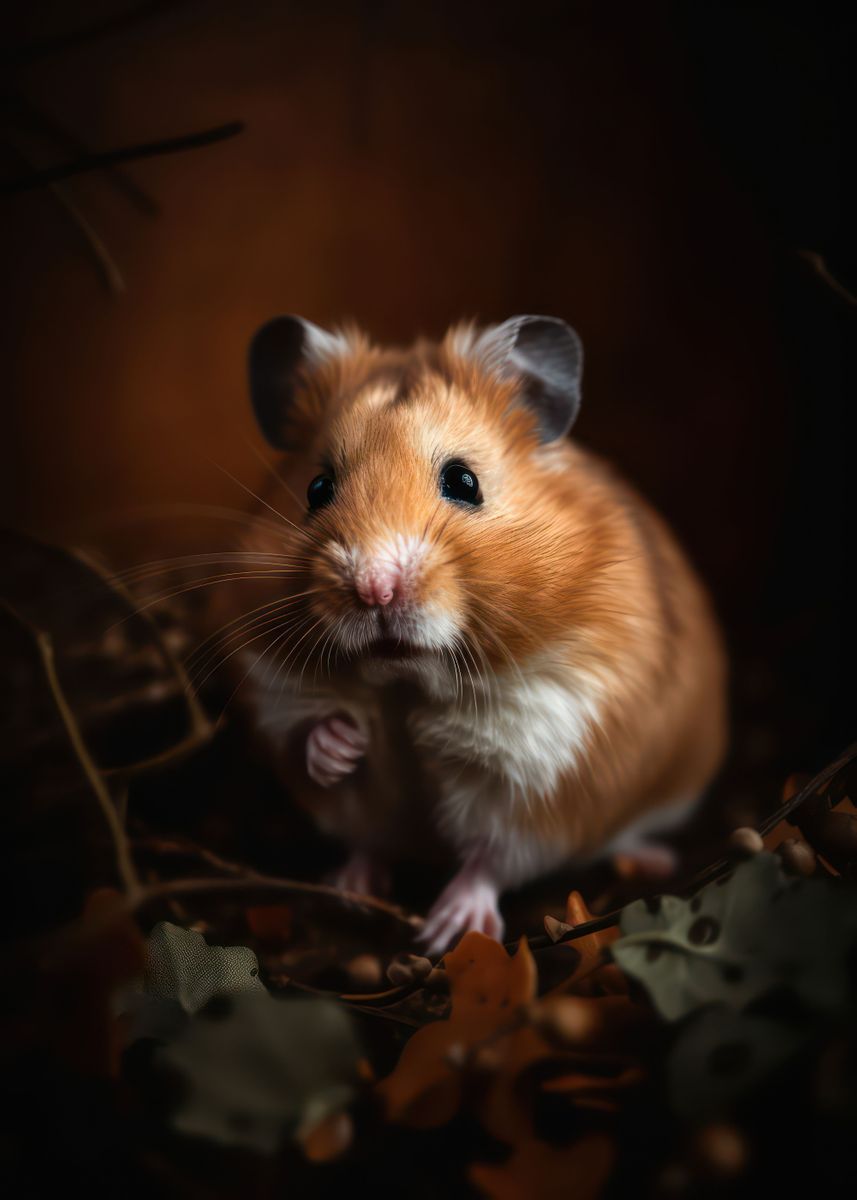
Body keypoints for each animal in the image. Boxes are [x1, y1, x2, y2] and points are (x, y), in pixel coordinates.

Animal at [208, 314, 727, 953]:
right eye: (317, 489)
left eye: (464, 481)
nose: (375, 589)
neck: (405, 682)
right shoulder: (275, 690)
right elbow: (308, 738)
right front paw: (347, 744)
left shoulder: (545, 757)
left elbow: (494, 857)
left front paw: (446, 933)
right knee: (369, 846)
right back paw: (348, 891)